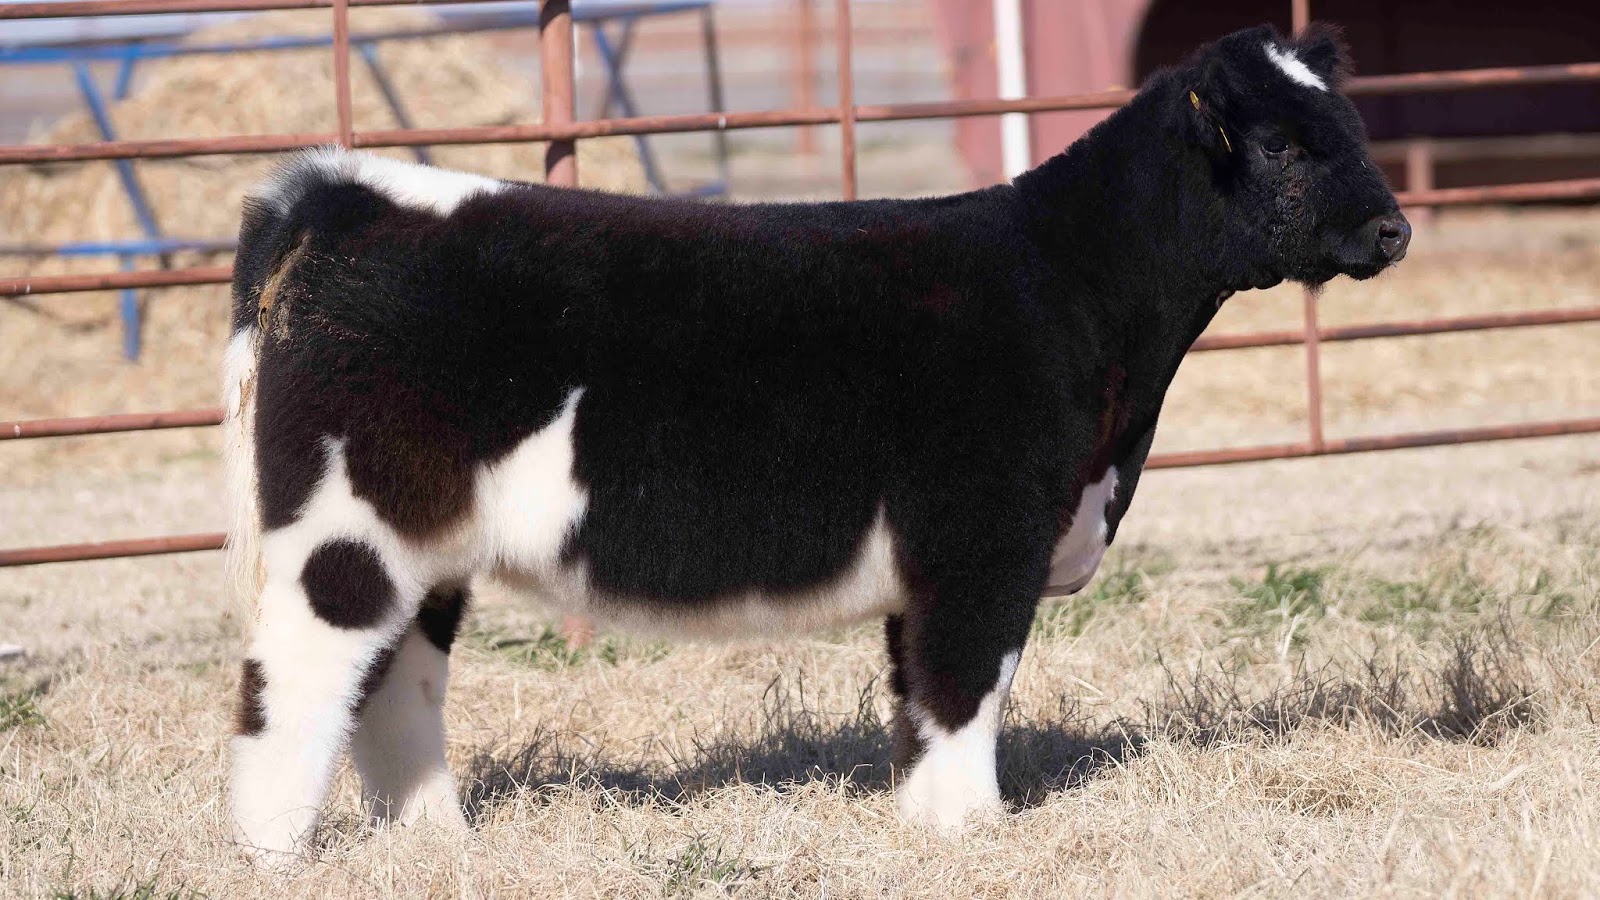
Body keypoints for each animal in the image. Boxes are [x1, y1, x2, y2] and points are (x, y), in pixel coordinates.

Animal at [222, 23, 1409, 863]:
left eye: (1351, 128)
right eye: (1281, 146)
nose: (1395, 229)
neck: (1074, 288)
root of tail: (343, 192)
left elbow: (920, 699)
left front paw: (927, 821)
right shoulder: (981, 540)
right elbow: (966, 684)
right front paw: (971, 830)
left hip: (426, 545)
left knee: (396, 680)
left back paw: (433, 839)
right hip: (342, 528)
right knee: (298, 676)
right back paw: (273, 849)